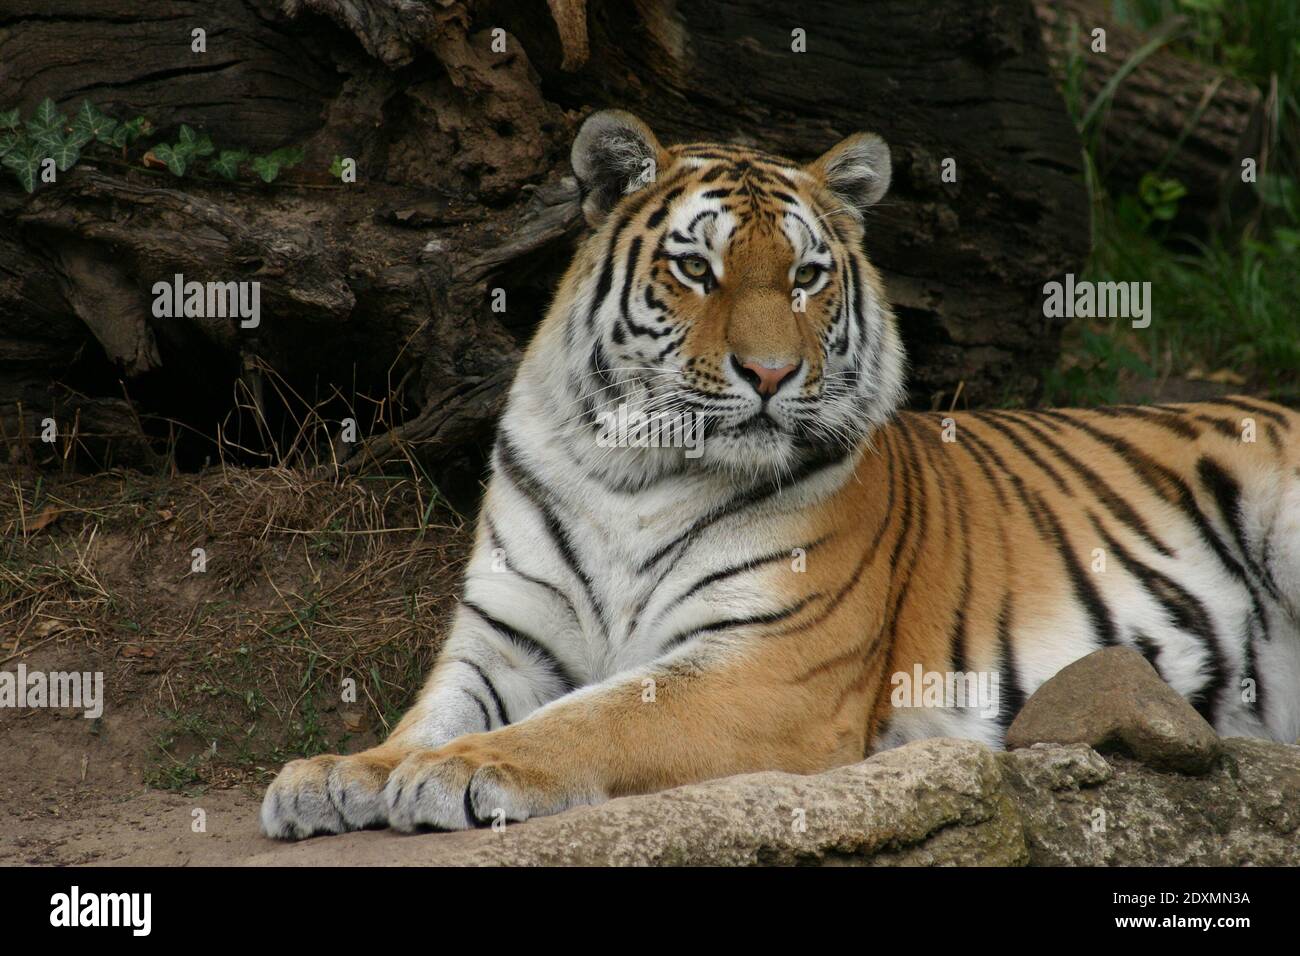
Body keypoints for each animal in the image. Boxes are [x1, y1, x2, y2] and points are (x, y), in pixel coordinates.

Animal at [261, 110, 1300, 839]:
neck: (627, 467)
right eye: (696, 269)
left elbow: (588, 719)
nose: (770, 374)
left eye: (805, 278)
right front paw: (339, 773)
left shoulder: (768, 664)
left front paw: (460, 770)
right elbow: (427, 713)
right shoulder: (506, 638)